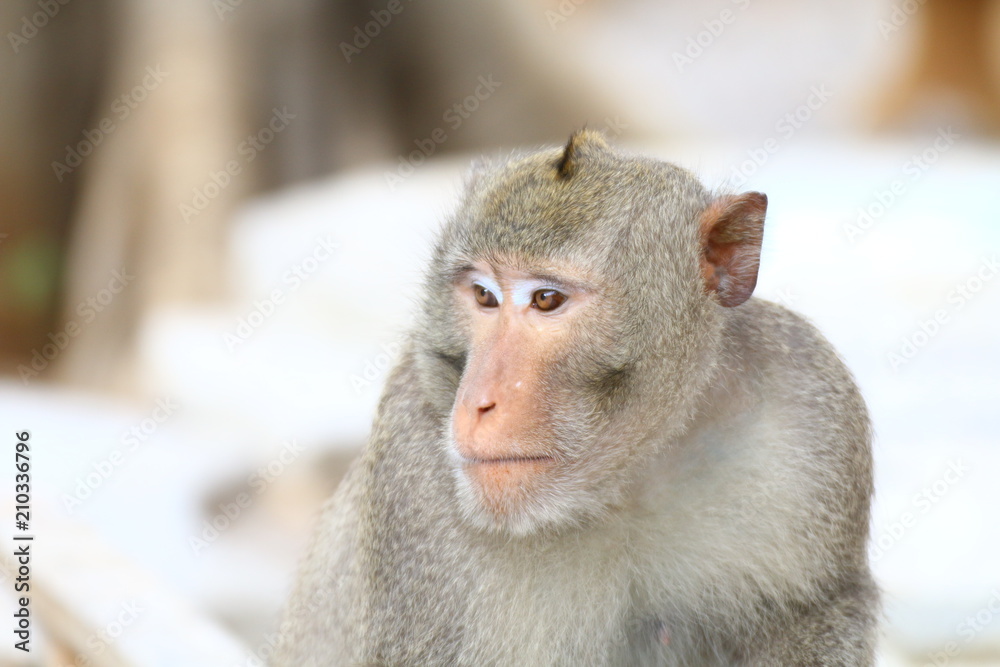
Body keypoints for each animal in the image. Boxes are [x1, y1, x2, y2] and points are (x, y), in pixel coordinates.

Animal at [272, 130, 878, 666]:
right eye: (484, 295)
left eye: (546, 299)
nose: (477, 403)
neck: (621, 483)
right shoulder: (414, 474)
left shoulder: (809, 405)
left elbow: (816, 613)